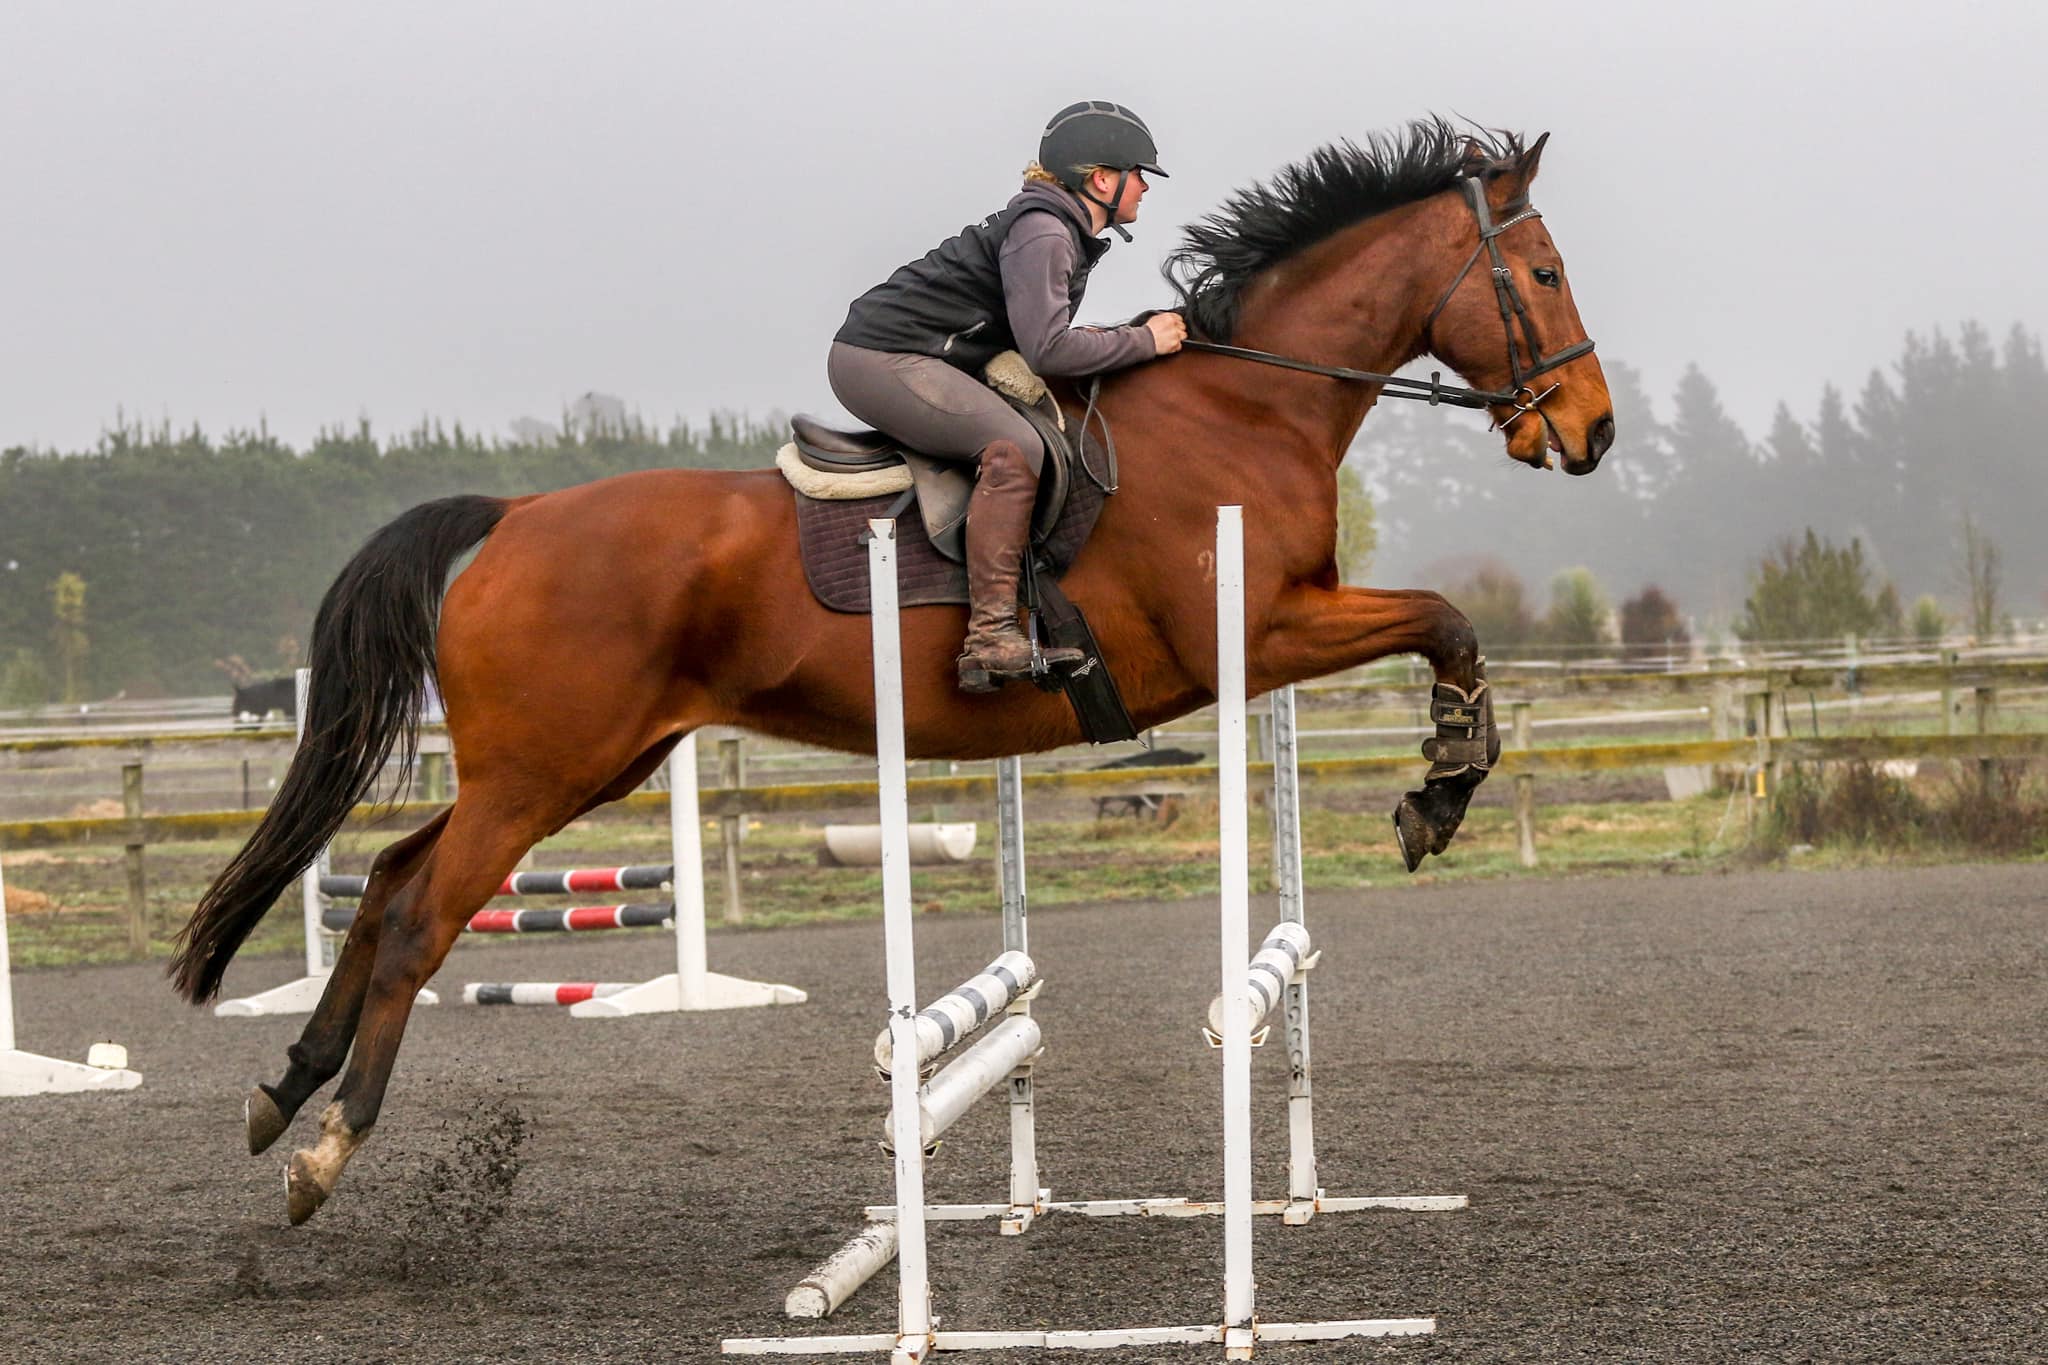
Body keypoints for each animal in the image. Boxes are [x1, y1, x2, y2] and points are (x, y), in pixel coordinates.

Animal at [171, 120, 1614, 1225]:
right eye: (1542, 272)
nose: (1592, 434)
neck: (1244, 406)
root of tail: (517, 516)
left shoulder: (1279, 628)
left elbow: (1444, 624)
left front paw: (1438, 786)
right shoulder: (1254, 633)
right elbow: (1445, 619)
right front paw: (1439, 790)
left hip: (585, 765)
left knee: (387, 879)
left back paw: (282, 1088)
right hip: (540, 772)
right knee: (421, 911)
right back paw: (326, 1146)